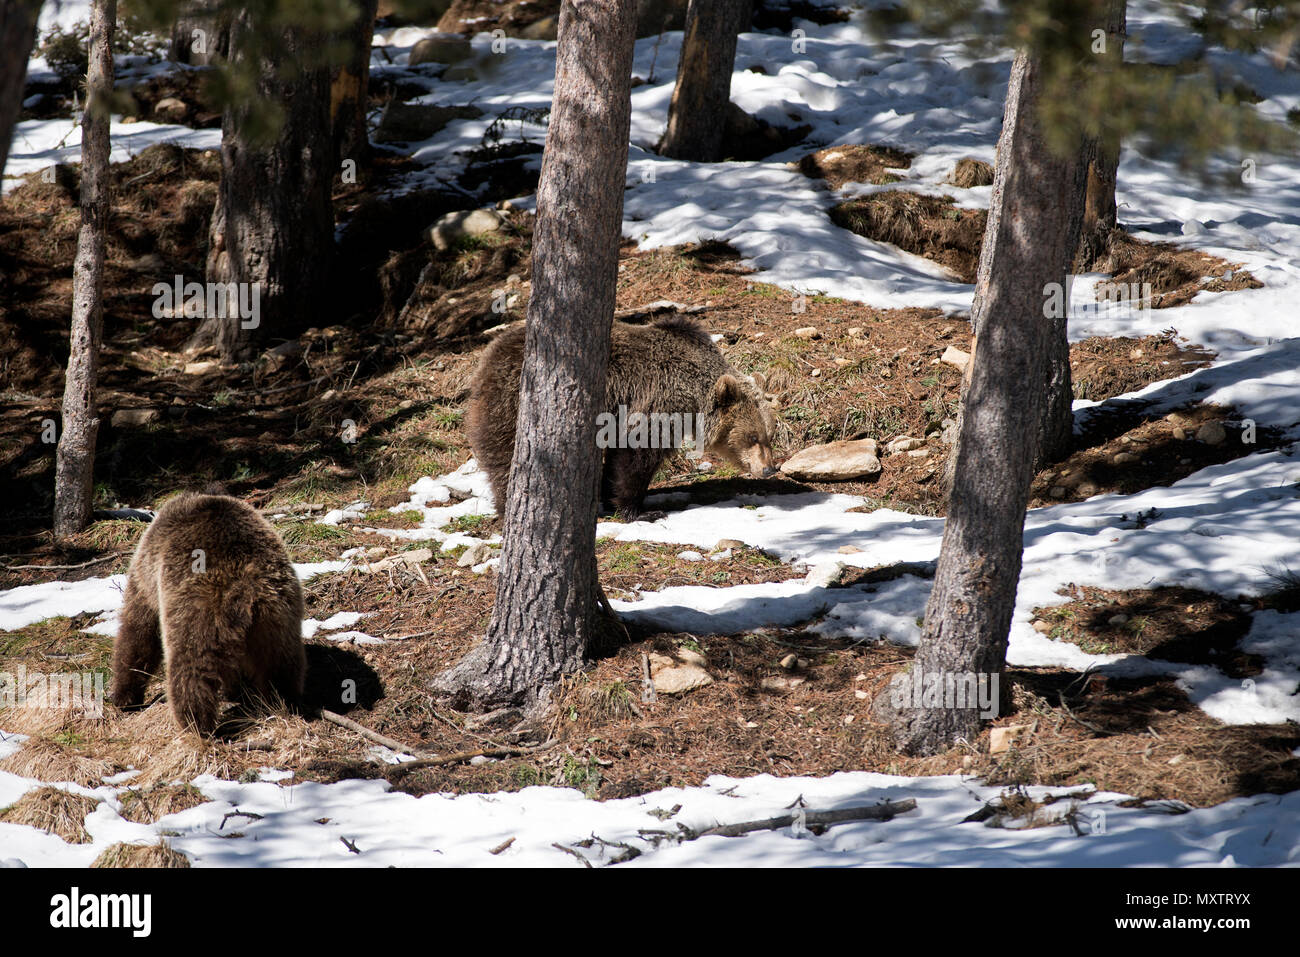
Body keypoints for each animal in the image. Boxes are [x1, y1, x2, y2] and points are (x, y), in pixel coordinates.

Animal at [110, 492, 306, 736]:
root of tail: (247, 582)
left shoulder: (146, 578)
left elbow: (138, 632)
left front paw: (124, 696)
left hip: (196, 608)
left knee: (190, 664)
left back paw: (194, 722)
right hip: (279, 612)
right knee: (281, 659)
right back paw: (283, 699)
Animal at [466, 315, 779, 518]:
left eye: (769, 435)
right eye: (752, 436)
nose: (769, 468)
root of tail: (487, 357)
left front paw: (609, 496)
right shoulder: (655, 403)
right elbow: (636, 457)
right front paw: (638, 509)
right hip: (512, 402)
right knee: (505, 455)